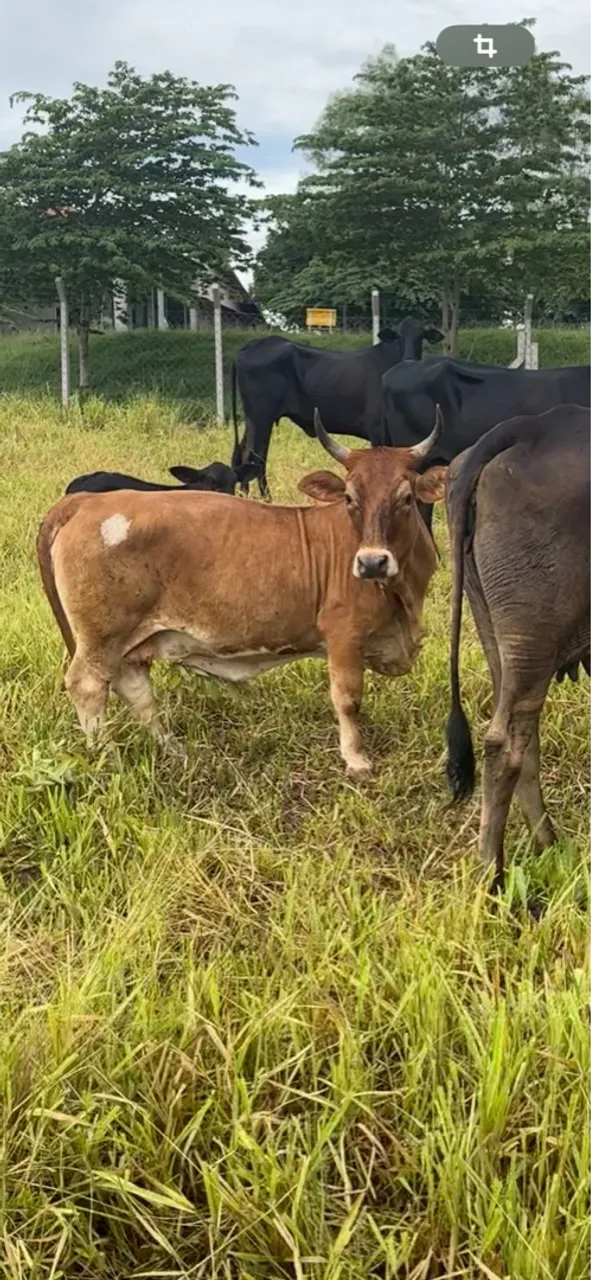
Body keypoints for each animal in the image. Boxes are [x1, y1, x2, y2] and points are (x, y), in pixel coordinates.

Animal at [37, 409, 447, 774]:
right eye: (349, 498)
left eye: (406, 498)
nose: (372, 563)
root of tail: (86, 502)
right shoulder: (344, 633)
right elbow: (347, 698)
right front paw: (357, 760)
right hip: (101, 637)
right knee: (87, 685)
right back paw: (108, 756)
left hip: (130, 640)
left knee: (134, 685)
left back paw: (172, 749)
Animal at [231, 316, 444, 500]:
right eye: (398, 336)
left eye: (421, 336)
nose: (410, 358)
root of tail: (255, 344)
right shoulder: (376, 430)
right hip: (261, 418)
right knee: (253, 456)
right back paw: (262, 498)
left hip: (253, 420)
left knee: (243, 455)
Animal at [445, 404, 590, 896]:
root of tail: (531, 426)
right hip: (532, 640)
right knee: (504, 742)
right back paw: (492, 875)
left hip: (498, 635)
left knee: (523, 738)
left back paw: (549, 843)